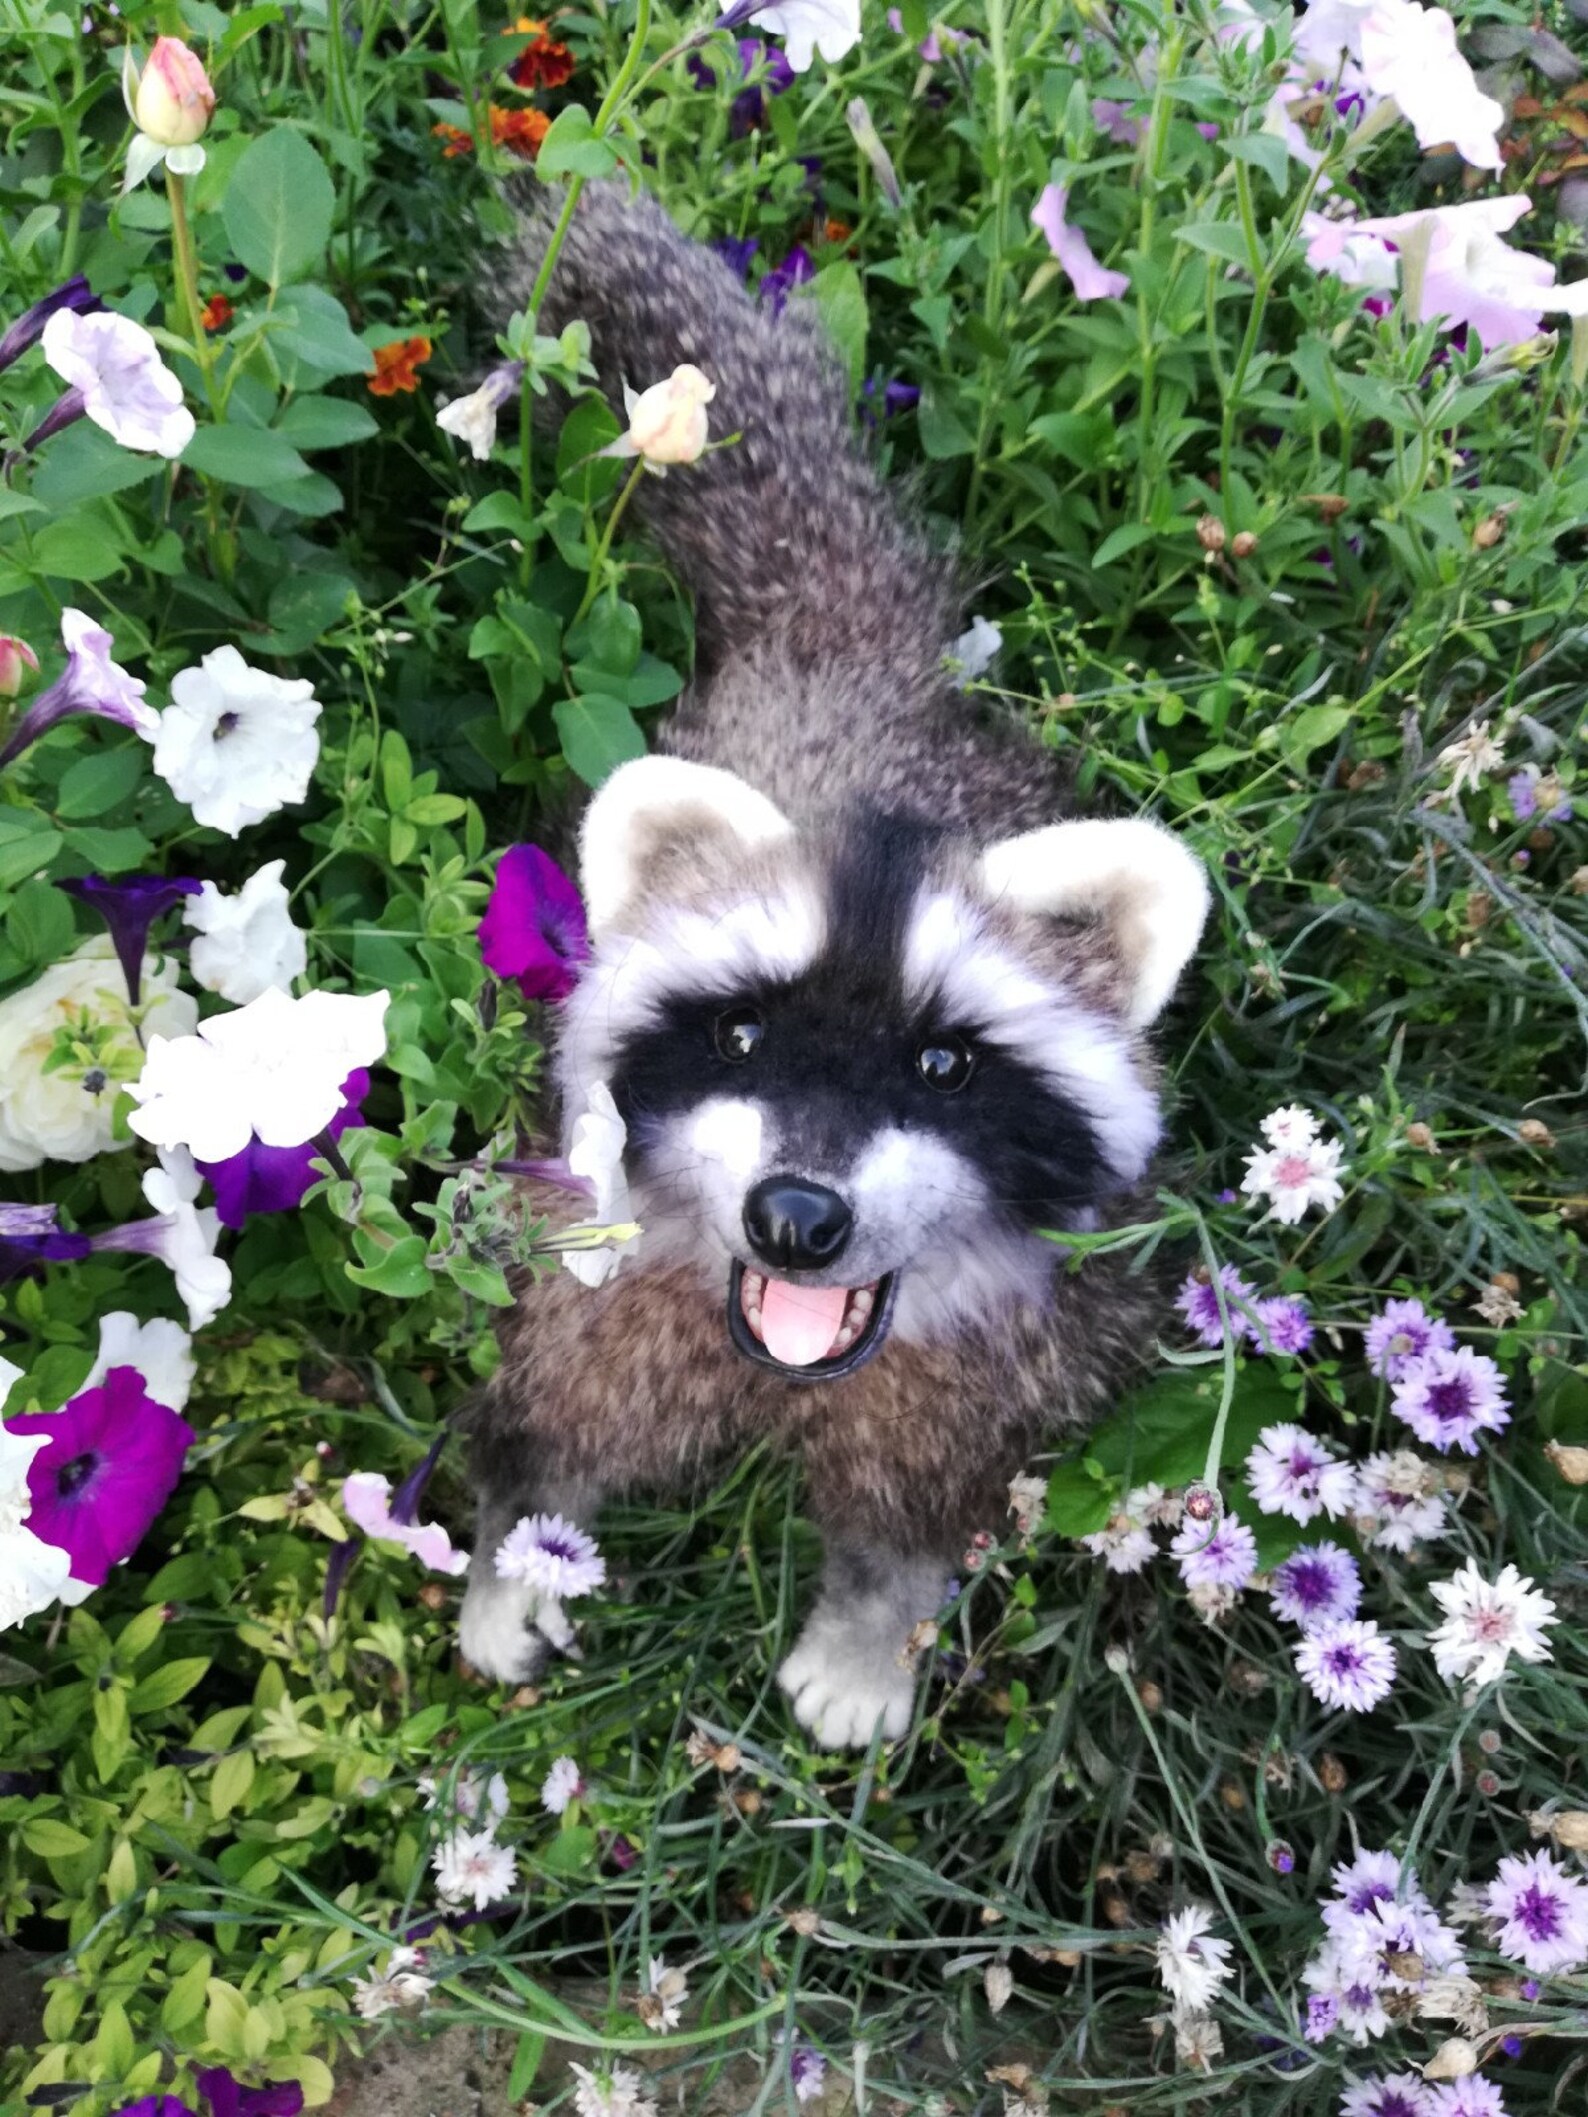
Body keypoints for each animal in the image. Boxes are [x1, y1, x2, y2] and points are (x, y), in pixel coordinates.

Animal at [458, 181, 1210, 1748]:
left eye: (944, 1063)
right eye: (742, 1037)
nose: (795, 1218)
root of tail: (845, 648)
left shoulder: (1014, 1333)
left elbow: (930, 1490)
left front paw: (875, 1619)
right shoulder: (589, 1256)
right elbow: (545, 1404)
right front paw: (512, 1547)